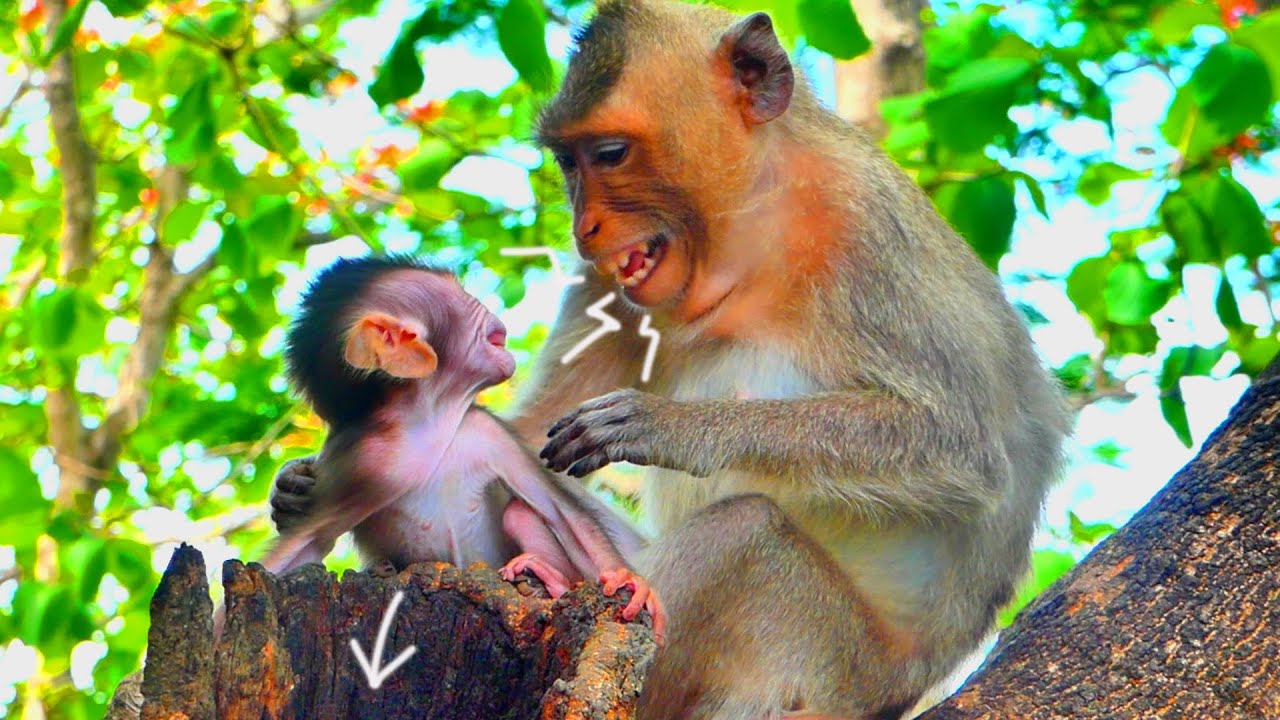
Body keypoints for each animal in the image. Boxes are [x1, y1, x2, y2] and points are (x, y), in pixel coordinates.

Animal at [257, 255, 663, 639]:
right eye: (463, 297)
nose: (486, 305)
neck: (431, 423)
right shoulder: (364, 463)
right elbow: (307, 542)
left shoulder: (486, 432)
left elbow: (562, 511)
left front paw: (630, 582)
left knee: (521, 512)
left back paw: (551, 579)